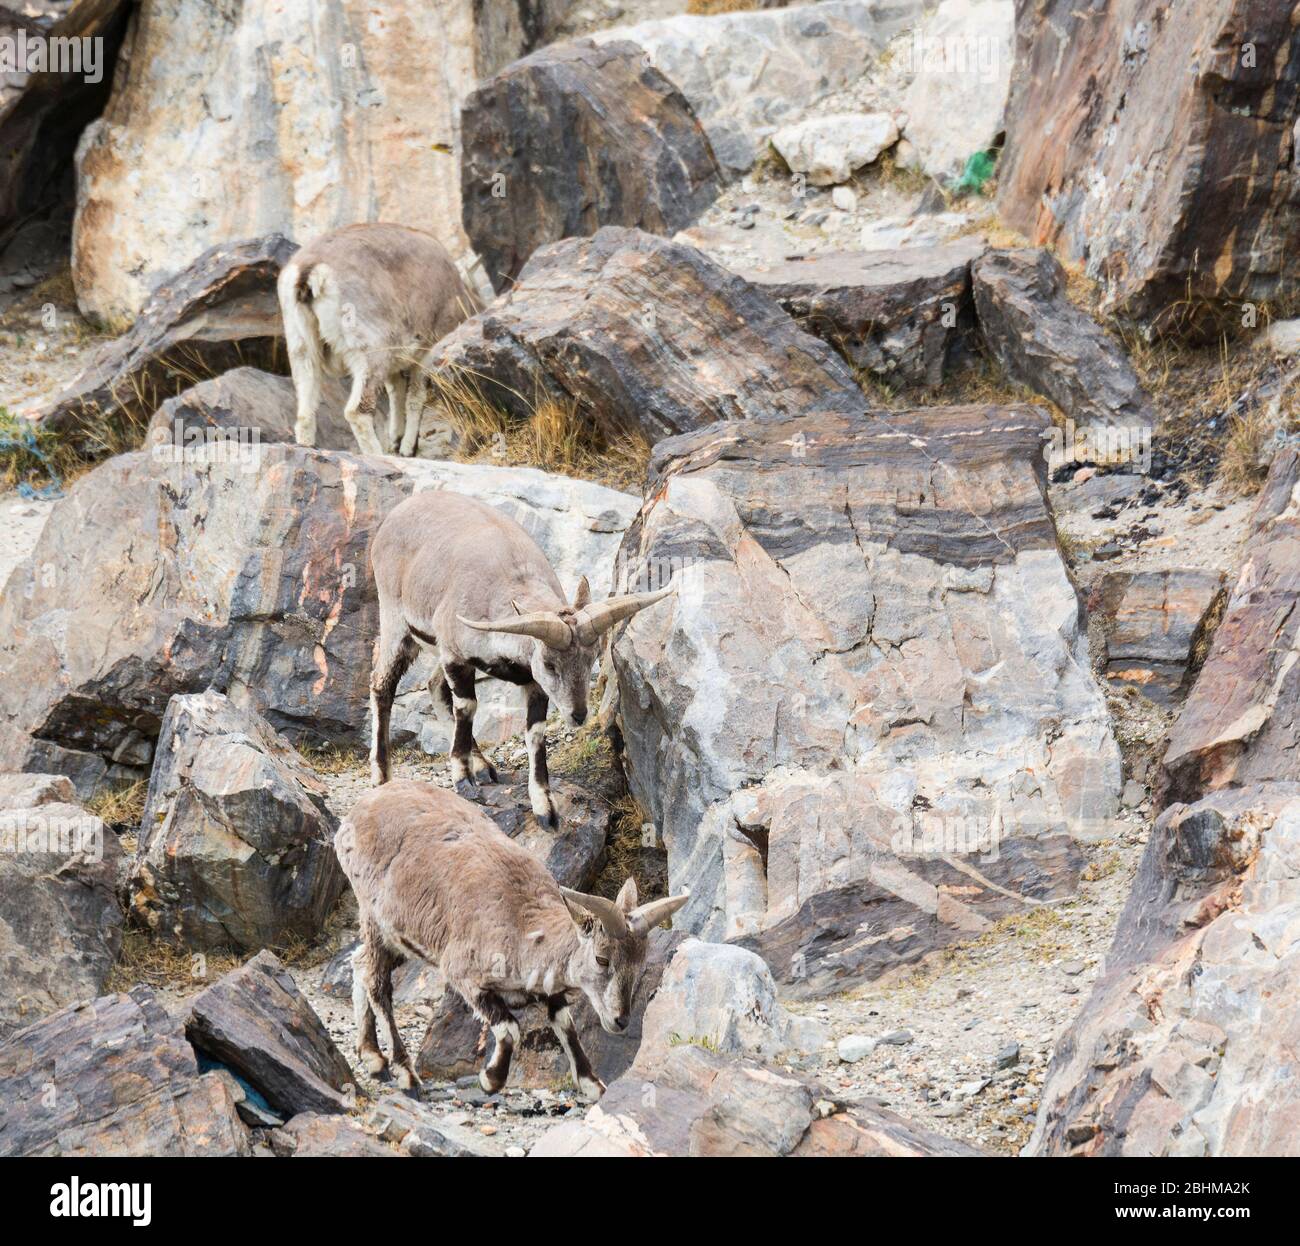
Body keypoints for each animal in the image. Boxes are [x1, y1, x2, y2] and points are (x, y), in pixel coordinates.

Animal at [277, 223, 481, 458]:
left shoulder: (395, 364)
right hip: (370, 353)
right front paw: (407, 448)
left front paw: (397, 441)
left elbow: (396, 395)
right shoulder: (427, 352)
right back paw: (376, 453)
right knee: (357, 411)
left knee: (305, 408)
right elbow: (415, 398)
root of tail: (309, 270)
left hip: (302, 347)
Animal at [335, 778, 689, 1098]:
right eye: (602, 958)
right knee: (375, 980)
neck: (523, 929)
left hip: (401, 937)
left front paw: (592, 1084)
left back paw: (372, 1057)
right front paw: (490, 1079)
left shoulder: (547, 989)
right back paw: (405, 1072)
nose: (620, 1020)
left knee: (359, 962)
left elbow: (565, 1023)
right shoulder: (462, 972)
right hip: (375, 915)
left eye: (640, 963)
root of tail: (358, 809)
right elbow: (509, 1028)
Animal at [368, 488, 673, 826]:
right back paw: (382, 776)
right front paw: (462, 779)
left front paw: (545, 809)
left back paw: (483, 767)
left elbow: (535, 733)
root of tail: (396, 514)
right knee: (382, 683)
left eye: (593, 658)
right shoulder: (455, 654)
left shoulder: (531, 681)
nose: (579, 715)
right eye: (550, 664)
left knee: (434, 685)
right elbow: (467, 707)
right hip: (396, 620)